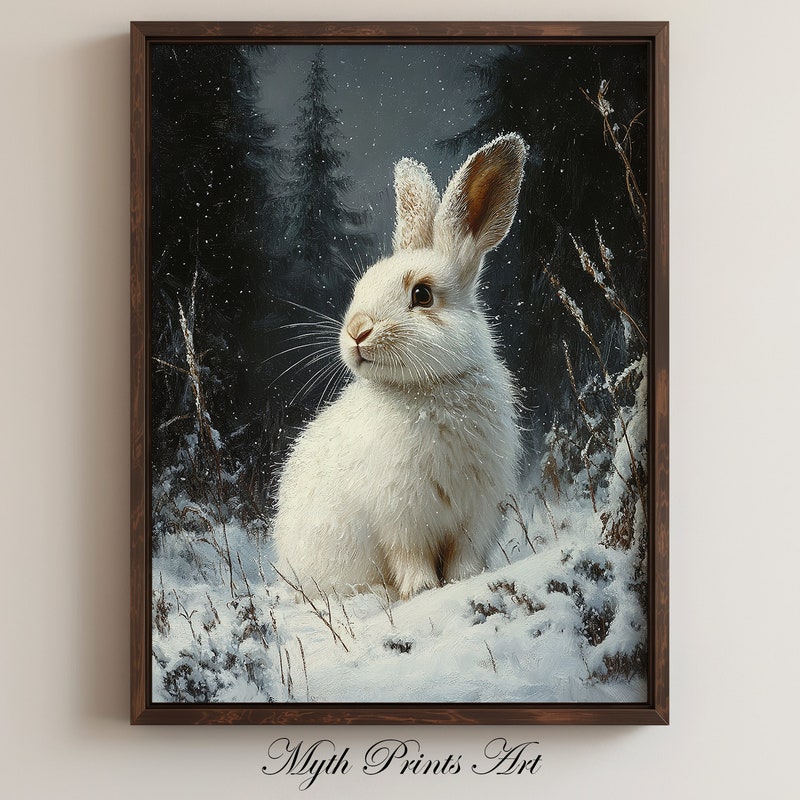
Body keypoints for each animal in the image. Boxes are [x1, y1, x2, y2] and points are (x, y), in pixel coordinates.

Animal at [273, 133, 527, 601]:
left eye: (422, 295)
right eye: (360, 287)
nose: (357, 330)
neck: (430, 390)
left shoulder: (477, 512)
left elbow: (464, 552)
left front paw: (464, 579)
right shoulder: (399, 515)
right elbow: (408, 555)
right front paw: (421, 588)